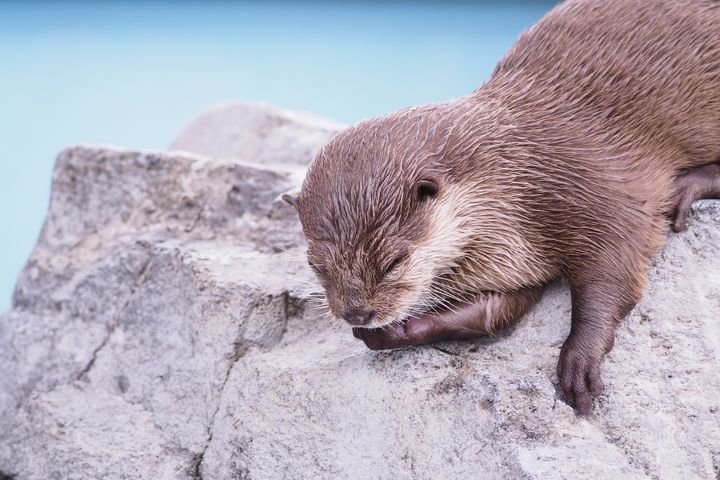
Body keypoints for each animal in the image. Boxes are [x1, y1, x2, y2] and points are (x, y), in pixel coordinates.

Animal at [284, 0, 720, 415]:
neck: (521, 170)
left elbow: (613, 272)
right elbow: (493, 311)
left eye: (394, 261)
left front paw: (580, 358)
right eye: (315, 266)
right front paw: (393, 332)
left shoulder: (601, 191)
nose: (357, 313)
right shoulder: (511, 262)